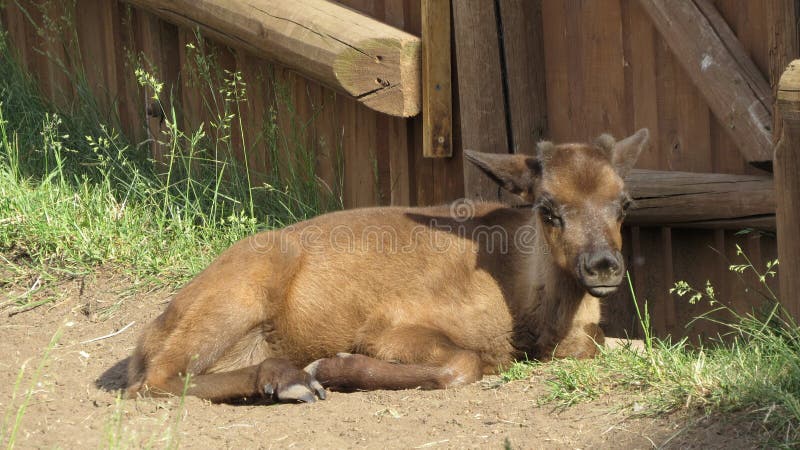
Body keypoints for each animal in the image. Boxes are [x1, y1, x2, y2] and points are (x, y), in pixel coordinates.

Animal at [125, 129, 649, 404]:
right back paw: (292, 379)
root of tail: (144, 339)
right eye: (547, 207)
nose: (603, 266)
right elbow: (465, 362)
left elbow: (609, 342)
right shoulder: (392, 324)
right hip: (240, 291)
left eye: (625, 203)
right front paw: (330, 366)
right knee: (155, 379)